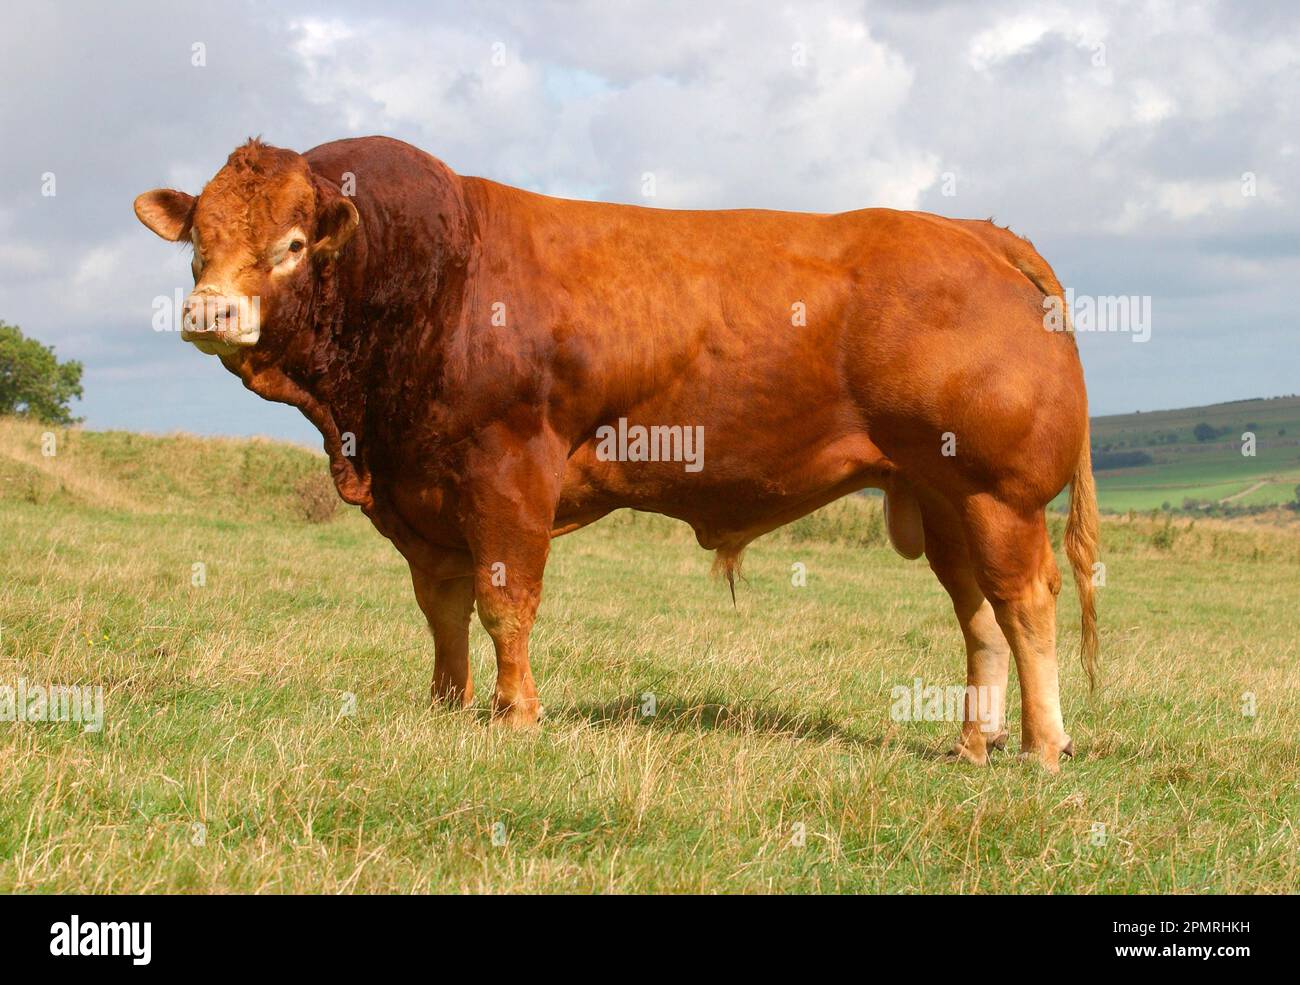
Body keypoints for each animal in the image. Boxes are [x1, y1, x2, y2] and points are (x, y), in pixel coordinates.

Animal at [134, 136, 1098, 771]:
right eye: (197, 242)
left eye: (293, 244)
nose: (210, 311)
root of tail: (970, 230)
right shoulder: (420, 496)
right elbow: (442, 609)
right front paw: (446, 705)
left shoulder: (508, 471)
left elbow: (505, 603)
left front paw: (515, 714)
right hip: (941, 495)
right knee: (979, 616)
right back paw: (974, 742)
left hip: (998, 492)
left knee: (1025, 605)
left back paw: (1045, 746)